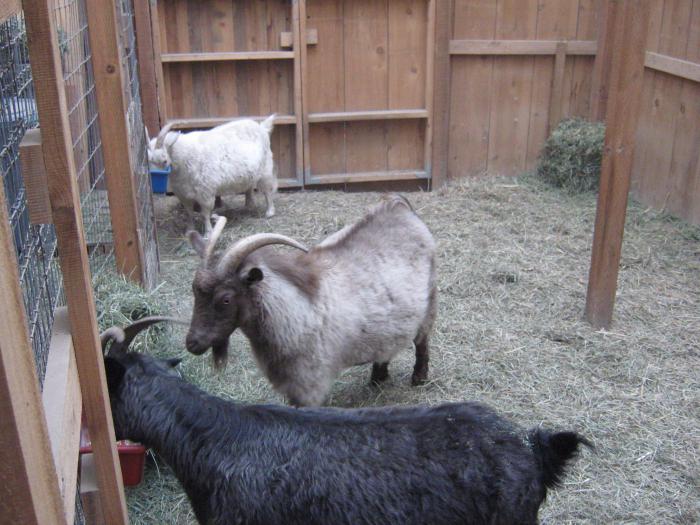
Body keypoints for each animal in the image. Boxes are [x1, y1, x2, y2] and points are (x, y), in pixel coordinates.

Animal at [147, 116, 276, 237]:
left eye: (164, 160)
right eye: (149, 161)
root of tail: (262, 126)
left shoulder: (206, 193)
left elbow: (205, 214)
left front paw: (208, 233)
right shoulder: (183, 194)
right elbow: (189, 212)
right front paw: (189, 230)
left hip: (265, 169)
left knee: (268, 191)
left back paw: (269, 212)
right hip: (250, 173)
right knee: (249, 187)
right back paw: (249, 205)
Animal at [186, 192, 438, 406]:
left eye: (226, 299)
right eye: (195, 291)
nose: (192, 344)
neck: (293, 308)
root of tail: (398, 206)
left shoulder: (310, 383)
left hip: (429, 303)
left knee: (422, 341)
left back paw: (419, 378)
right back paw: (378, 377)